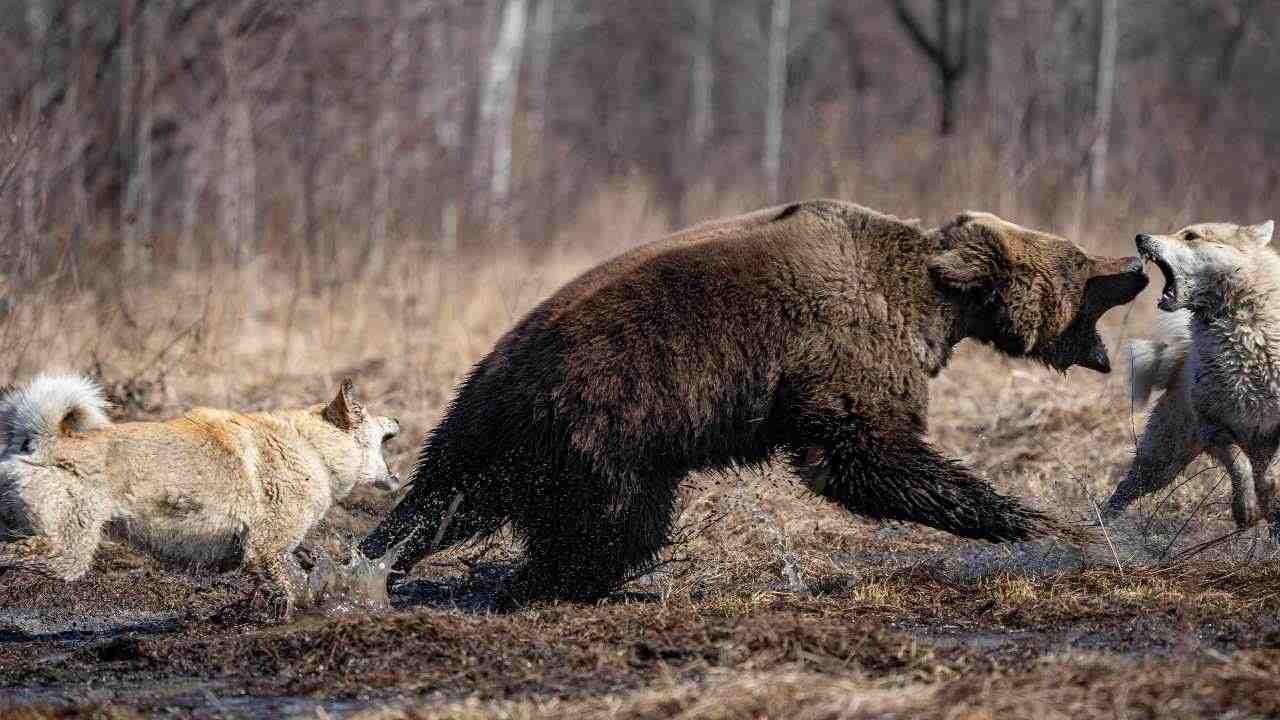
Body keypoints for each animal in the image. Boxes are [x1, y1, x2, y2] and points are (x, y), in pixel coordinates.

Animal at [361, 200, 1149, 604]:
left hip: (502, 424)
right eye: (1081, 261)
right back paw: (546, 581)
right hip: (603, 423)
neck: (938, 305)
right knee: (614, 523)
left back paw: (380, 555)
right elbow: (859, 451)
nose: (1139, 264)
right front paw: (1036, 519)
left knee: (451, 492)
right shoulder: (840, 341)